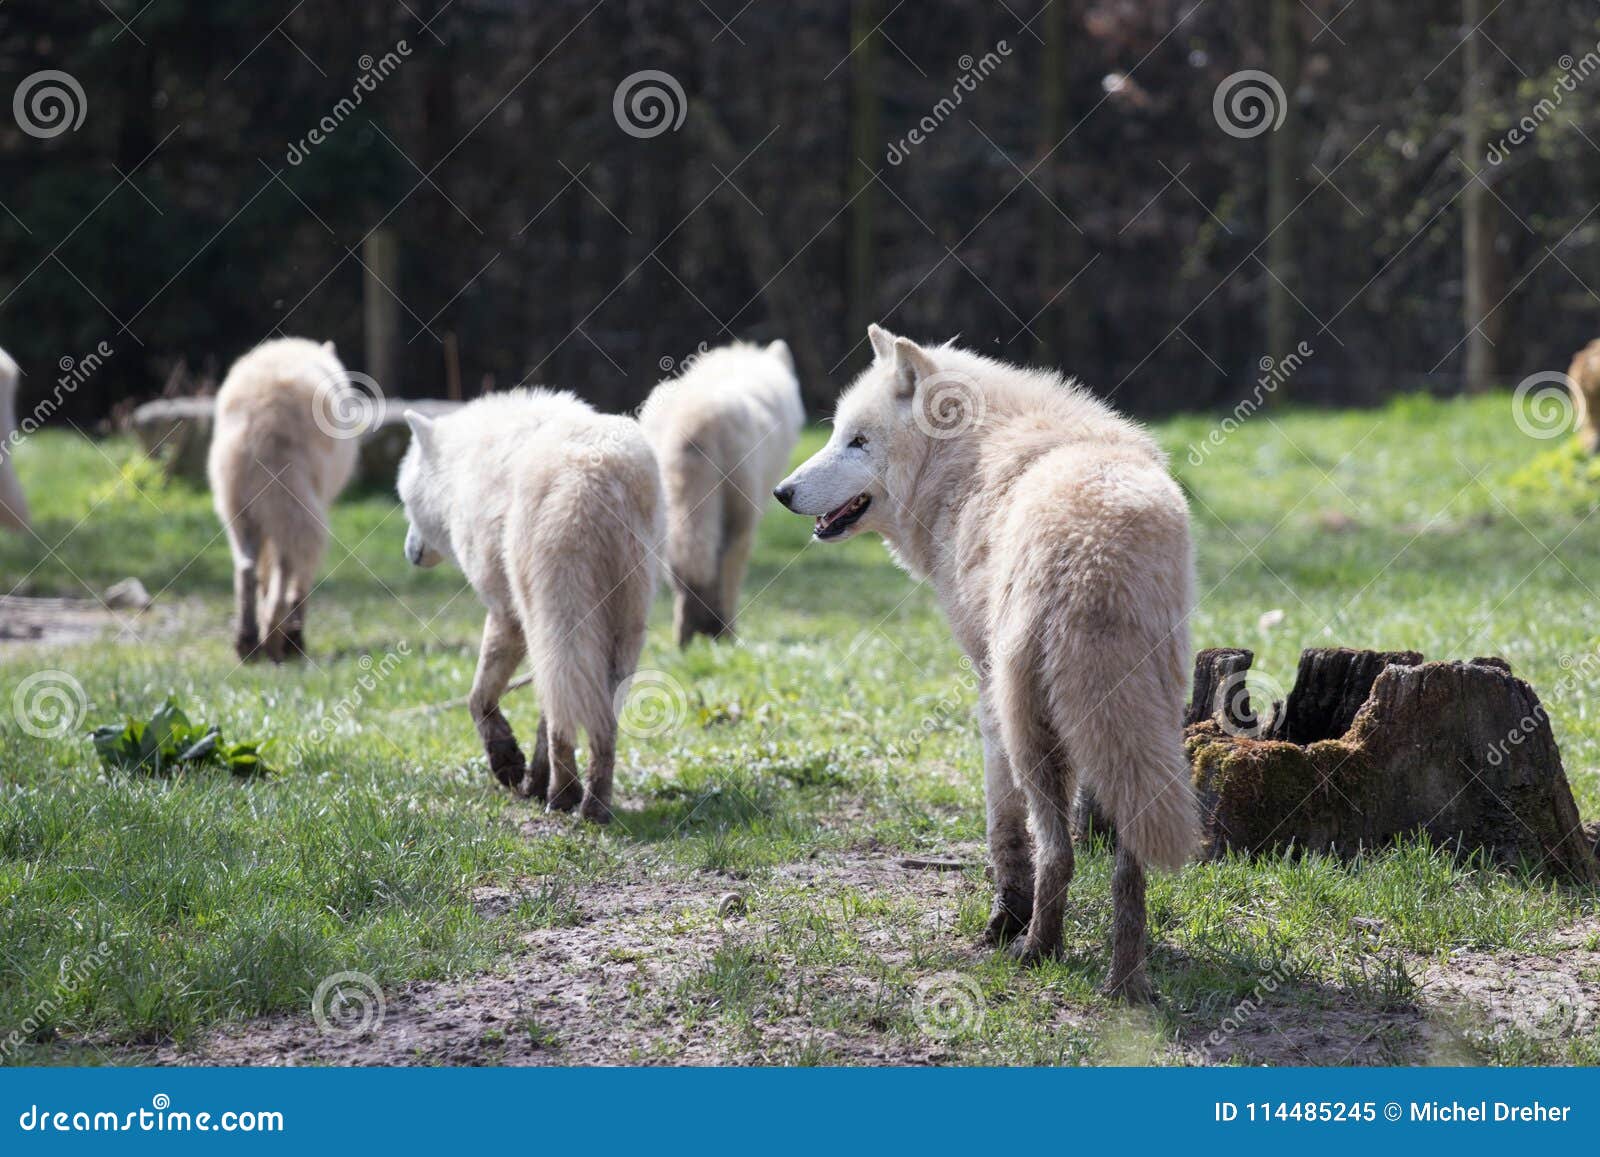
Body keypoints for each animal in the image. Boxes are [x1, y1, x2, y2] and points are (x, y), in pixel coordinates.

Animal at [208, 337, 360, 662]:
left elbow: (263, 573)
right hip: (296, 510)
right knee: (290, 568)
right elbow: (295, 580)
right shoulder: (317, 504)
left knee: (247, 569)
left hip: (238, 513)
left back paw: (248, 642)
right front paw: (294, 636)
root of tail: (264, 412)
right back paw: (279, 641)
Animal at [397, 389, 663, 823]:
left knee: (561, 721)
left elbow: (479, 698)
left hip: (553, 619)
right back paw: (592, 805)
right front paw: (533, 781)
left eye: (404, 501)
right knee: (600, 723)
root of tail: (591, 475)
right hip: (622, 633)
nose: (408, 551)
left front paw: (509, 764)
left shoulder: (505, 613)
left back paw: (564, 797)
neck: (463, 470)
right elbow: (547, 713)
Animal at [639, 340, 804, 646]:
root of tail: (696, 424)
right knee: (728, 569)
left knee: (685, 568)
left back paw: (687, 638)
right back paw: (724, 634)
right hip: (741, 516)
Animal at [774, 326, 1197, 1001]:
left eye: (857, 441)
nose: (781, 493)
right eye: (837, 434)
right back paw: (1125, 982)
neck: (965, 466)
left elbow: (1004, 825)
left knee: (1058, 852)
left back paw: (1038, 951)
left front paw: (1004, 921)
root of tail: (1100, 548)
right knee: (1127, 866)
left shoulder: (984, 686)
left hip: (1031, 725)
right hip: (1146, 717)